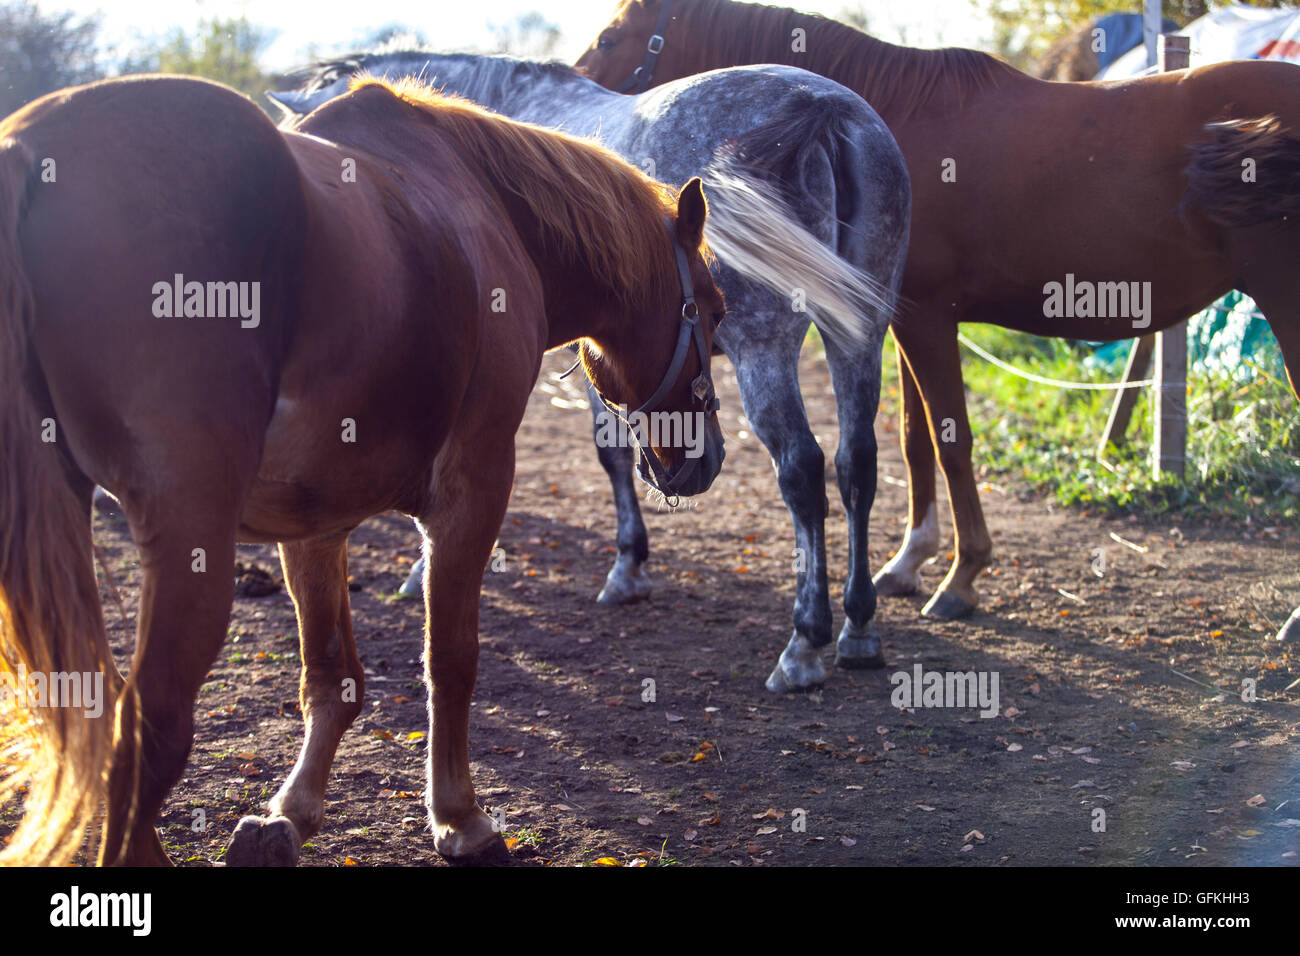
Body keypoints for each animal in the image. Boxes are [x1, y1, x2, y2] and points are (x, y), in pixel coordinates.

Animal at [0, 73, 726, 866]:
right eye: (715, 312)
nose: (708, 457)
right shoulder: (474, 488)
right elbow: (451, 660)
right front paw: (460, 818)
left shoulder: (313, 522)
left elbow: (331, 678)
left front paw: (290, 813)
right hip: (189, 540)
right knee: (146, 736)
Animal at [271, 51, 911, 694]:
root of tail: (823, 108)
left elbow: (608, 455)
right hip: (860, 334)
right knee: (857, 463)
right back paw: (858, 625)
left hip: (766, 347)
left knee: (802, 467)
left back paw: (804, 640)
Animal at [577, 0, 1300, 621]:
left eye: (610, 38)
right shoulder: (891, 321)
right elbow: (912, 438)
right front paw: (908, 562)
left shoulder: (927, 319)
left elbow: (951, 441)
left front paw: (961, 576)